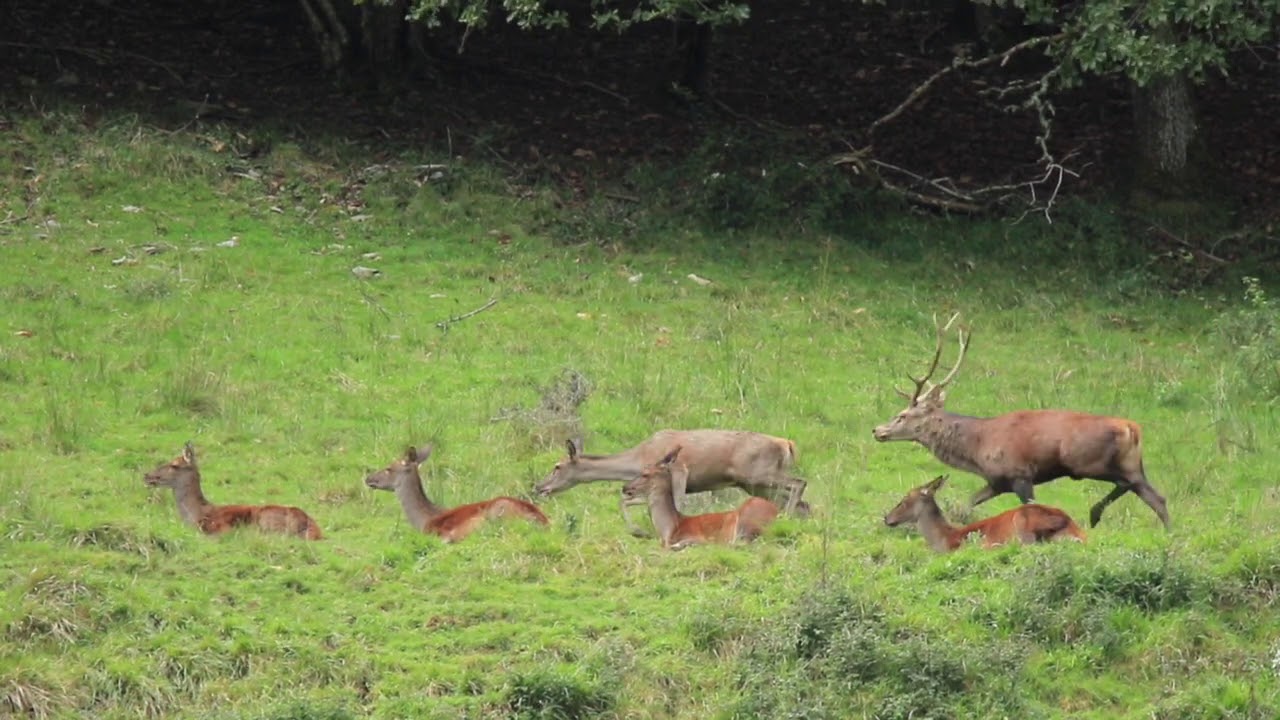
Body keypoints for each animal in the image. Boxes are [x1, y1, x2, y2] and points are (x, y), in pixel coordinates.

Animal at [143, 442, 323, 540]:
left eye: (174, 465)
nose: (147, 475)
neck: (196, 514)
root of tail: (314, 528)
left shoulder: (221, 529)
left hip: (266, 520)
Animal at [364, 445, 549, 543]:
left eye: (389, 468)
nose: (368, 478)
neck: (424, 521)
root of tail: (543, 521)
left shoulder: (438, 534)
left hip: (498, 513)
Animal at [534, 429, 808, 537]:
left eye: (557, 466)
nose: (538, 487)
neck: (638, 459)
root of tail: (787, 444)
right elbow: (625, 500)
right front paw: (639, 530)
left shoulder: (678, 469)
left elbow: (677, 503)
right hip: (752, 483)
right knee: (802, 503)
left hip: (758, 475)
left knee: (799, 483)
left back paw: (787, 520)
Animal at [621, 446, 779, 550]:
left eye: (645, 474)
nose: (625, 488)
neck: (671, 529)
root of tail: (778, 514)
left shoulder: (695, 535)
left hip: (749, 516)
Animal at [872, 314, 1170, 529]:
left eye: (902, 415)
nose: (877, 430)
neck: (977, 449)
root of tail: (1133, 428)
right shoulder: (997, 481)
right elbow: (970, 502)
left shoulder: (1020, 474)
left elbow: (1029, 506)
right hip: (1132, 463)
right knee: (1157, 497)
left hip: (1092, 462)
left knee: (1131, 486)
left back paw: (1095, 513)